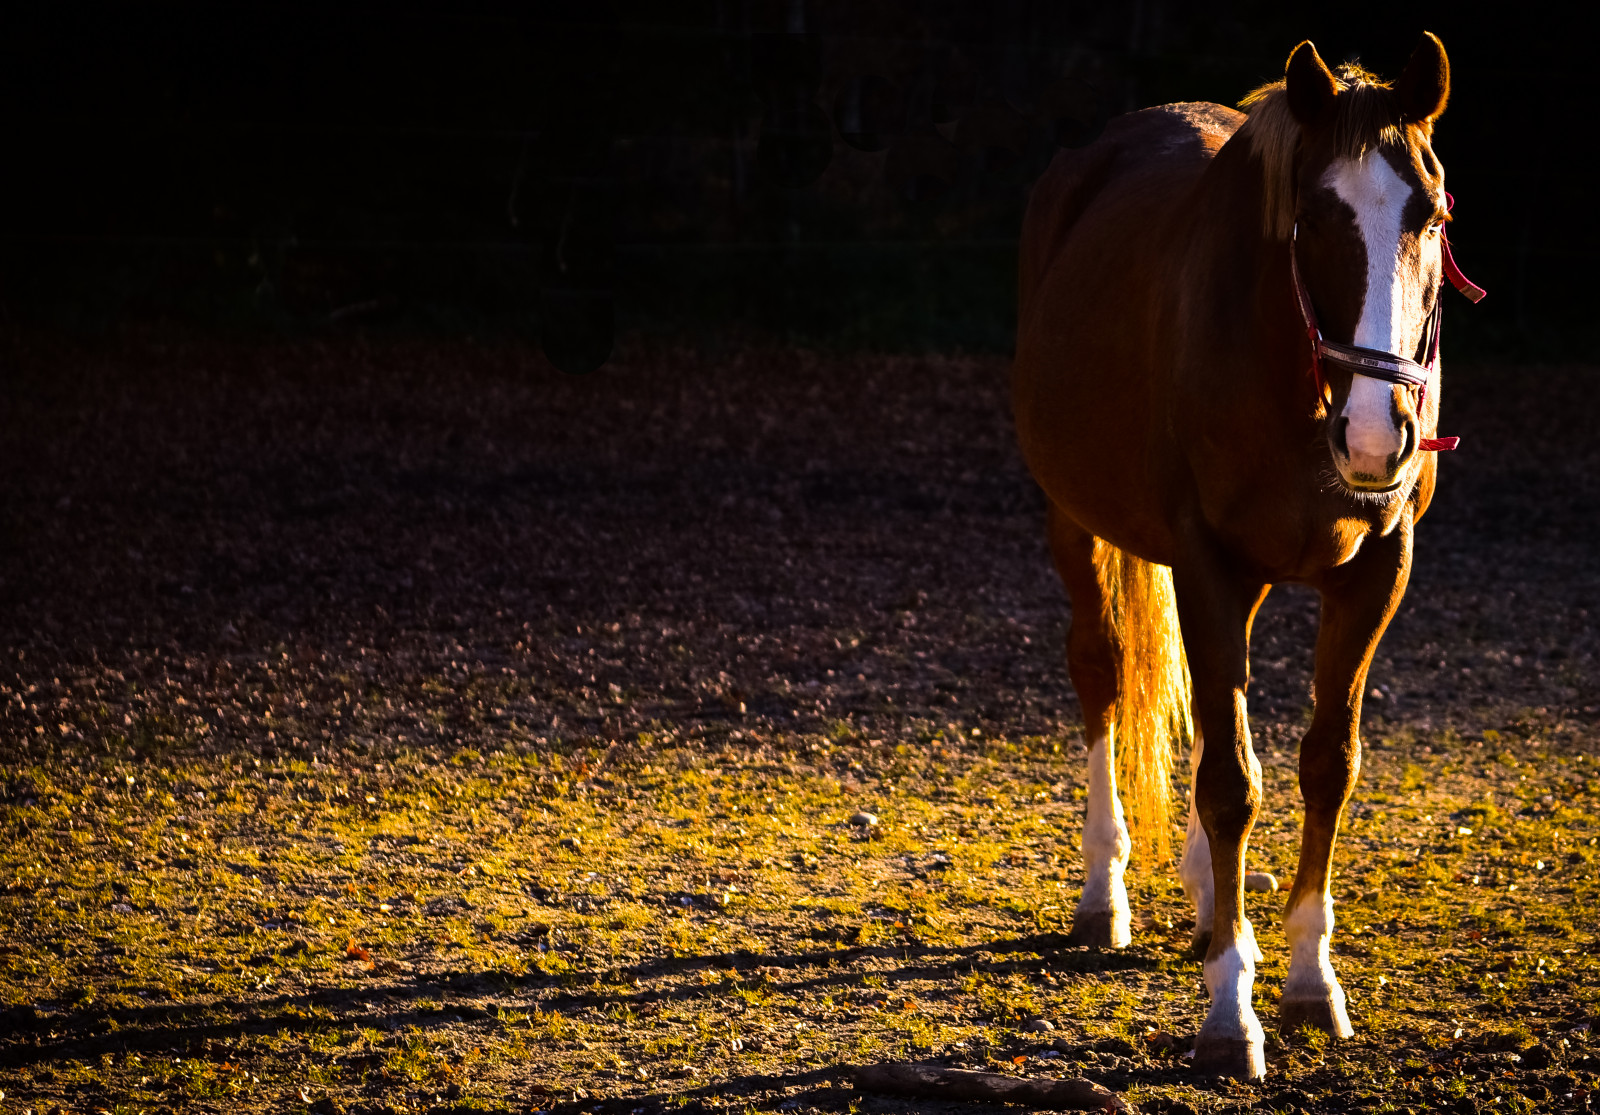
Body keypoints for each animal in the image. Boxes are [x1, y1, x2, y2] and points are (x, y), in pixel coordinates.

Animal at [1013, 33, 1482, 1080]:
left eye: (1430, 214)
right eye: (1311, 219)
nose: (1376, 436)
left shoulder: (1375, 572)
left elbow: (1324, 763)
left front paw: (1308, 976)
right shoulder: (1206, 562)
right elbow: (1231, 780)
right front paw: (1230, 1011)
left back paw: (1201, 896)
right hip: (1075, 522)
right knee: (1102, 673)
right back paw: (1106, 895)